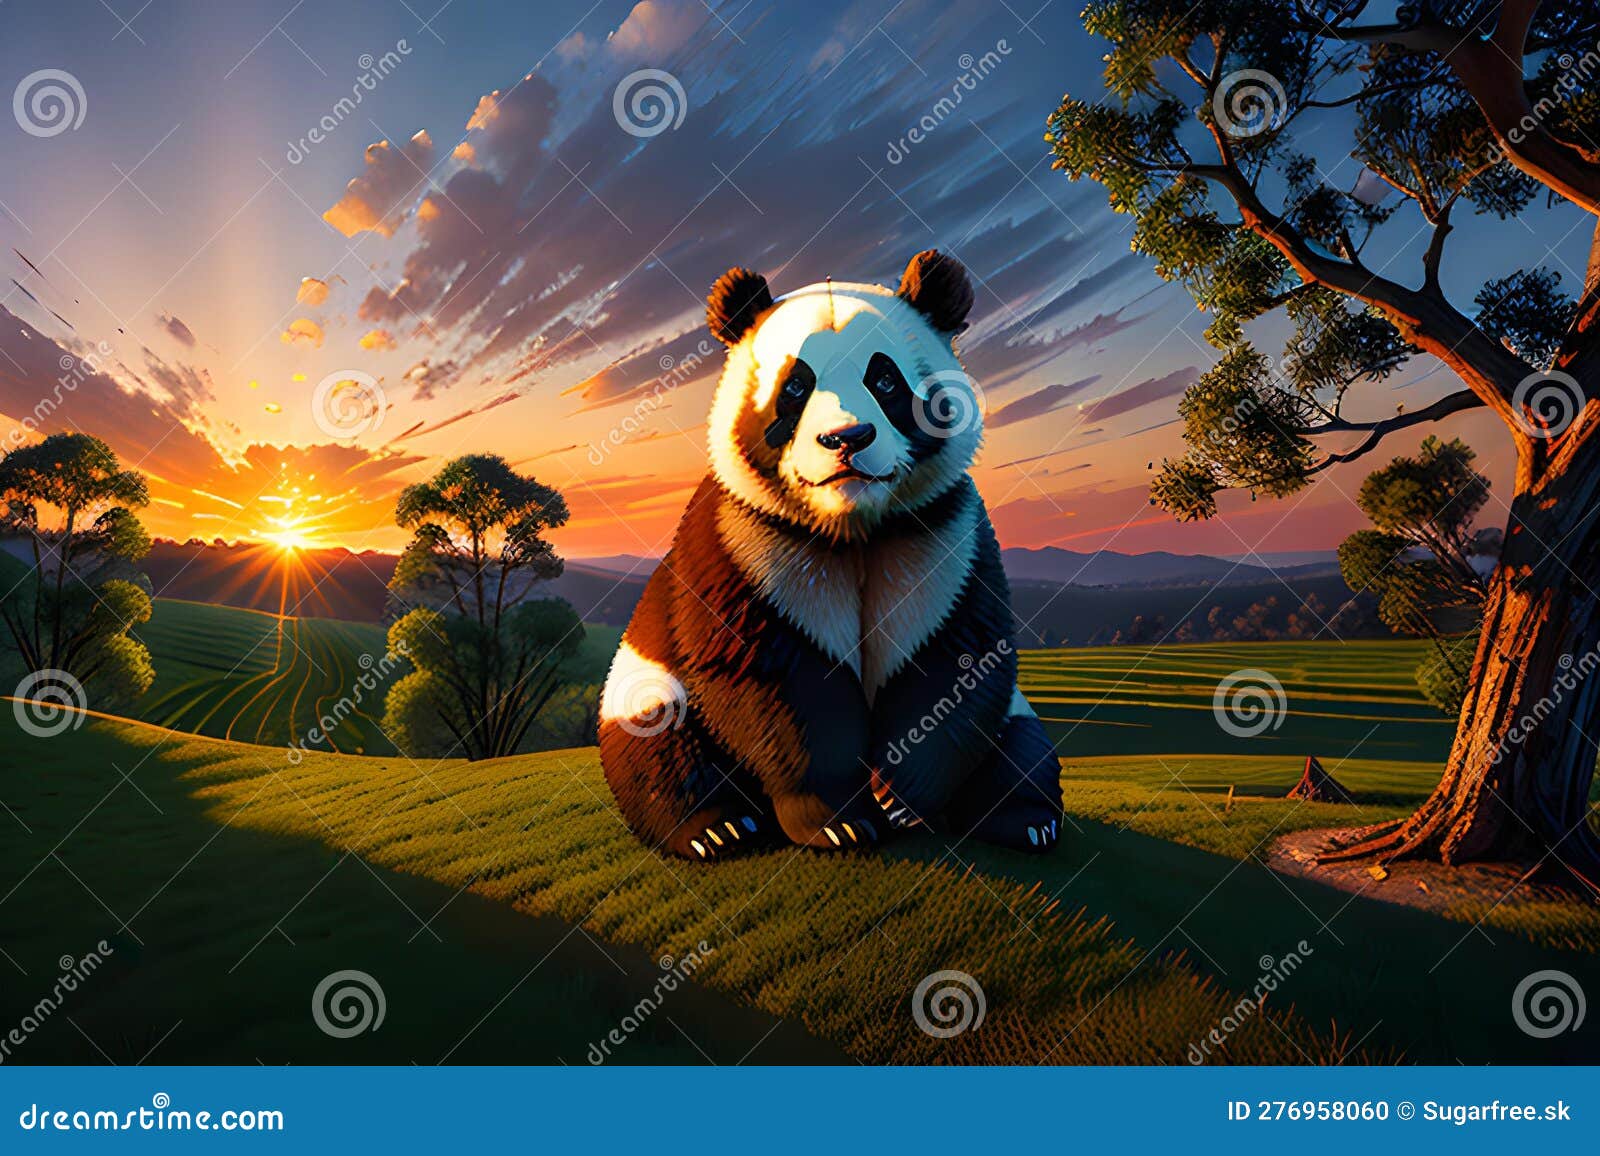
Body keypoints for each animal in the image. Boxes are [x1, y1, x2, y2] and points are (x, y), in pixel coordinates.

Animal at [598, 250, 1063, 860]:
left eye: (885, 378)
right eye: (795, 387)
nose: (847, 437)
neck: (851, 527)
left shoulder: (944, 536)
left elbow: (956, 659)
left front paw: (899, 799)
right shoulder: (747, 540)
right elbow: (770, 677)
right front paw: (836, 821)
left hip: (1013, 711)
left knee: (1020, 747)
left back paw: (1026, 821)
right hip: (645, 688)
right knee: (660, 746)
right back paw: (716, 828)